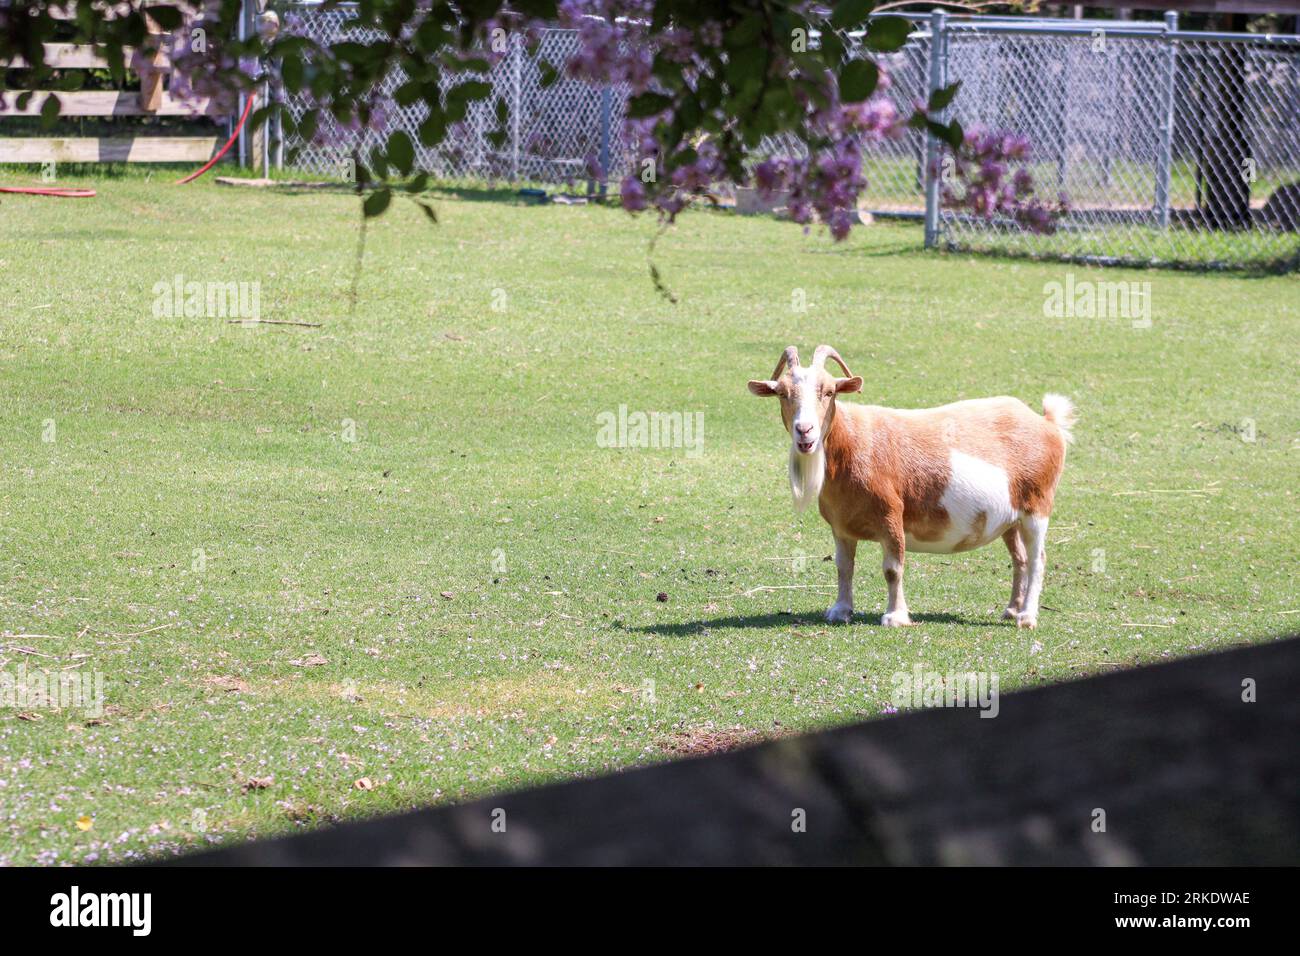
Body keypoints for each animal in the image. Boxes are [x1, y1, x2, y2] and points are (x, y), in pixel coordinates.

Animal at [748, 345, 1075, 628]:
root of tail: (1047, 423)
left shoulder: (891, 515)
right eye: (782, 393)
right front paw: (840, 610)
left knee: (1037, 560)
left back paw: (1027, 617)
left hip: (1037, 506)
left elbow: (893, 569)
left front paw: (895, 616)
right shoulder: (841, 526)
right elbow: (844, 566)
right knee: (1020, 558)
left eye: (829, 391)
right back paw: (1011, 610)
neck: (852, 443)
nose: (805, 431)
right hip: (1011, 518)